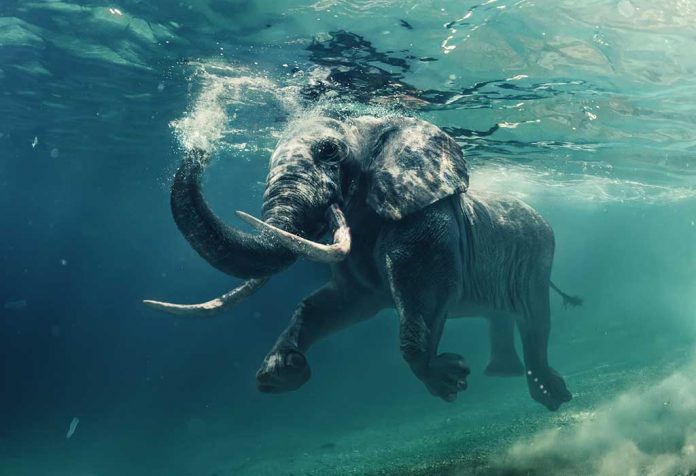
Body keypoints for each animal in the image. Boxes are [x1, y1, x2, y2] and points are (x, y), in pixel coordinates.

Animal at [145, 115, 581, 411]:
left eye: (329, 152)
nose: (200, 145)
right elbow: (334, 303)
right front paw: (280, 374)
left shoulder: (425, 221)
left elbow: (424, 293)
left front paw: (449, 380)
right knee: (505, 316)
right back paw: (505, 375)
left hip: (539, 257)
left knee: (535, 319)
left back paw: (552, 396)